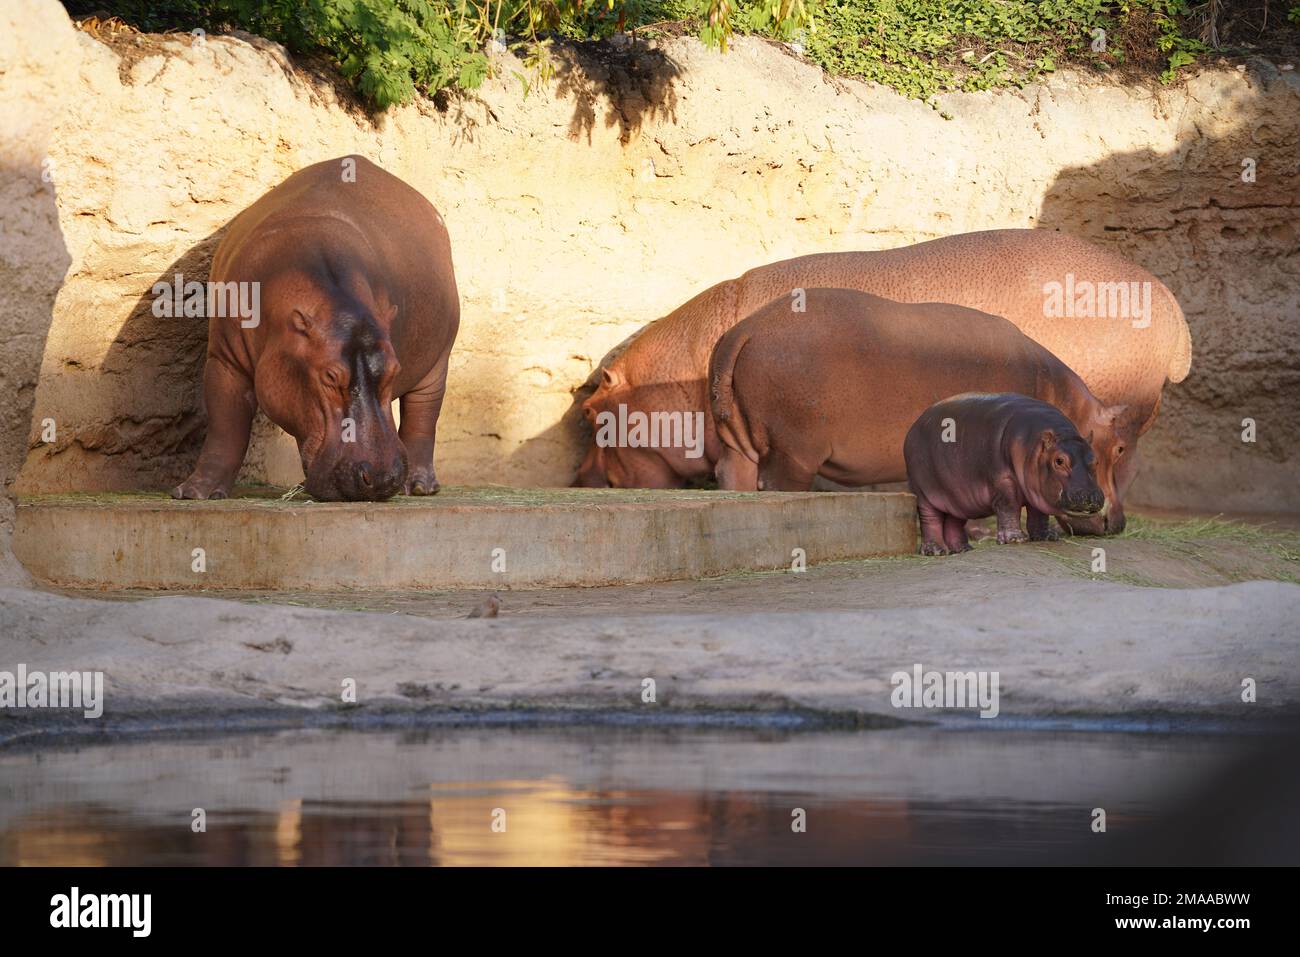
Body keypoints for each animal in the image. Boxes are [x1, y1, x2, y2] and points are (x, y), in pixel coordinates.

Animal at [172, 156, 459, 501]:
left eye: (395, 371)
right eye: (330, 377)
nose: (381, 478)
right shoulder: (225, 359)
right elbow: (225, 426)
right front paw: (194, 493)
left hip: (439, 361)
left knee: (423, 415)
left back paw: (418, 486)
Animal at [708, 288, 1133, 531]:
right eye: (1118, 448)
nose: (1119, 523)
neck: (1061, 400)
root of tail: (744, 328)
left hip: (740, 443)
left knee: (734, 478)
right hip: (794, 452)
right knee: (778, 487)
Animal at [904, 393, 1107, 555]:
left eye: (1095, 460)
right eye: (1059, 461)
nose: (1089, 496)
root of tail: (914, 426)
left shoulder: (1037, 488)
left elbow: (1039, 513)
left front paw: (1047, 536)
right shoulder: (1004, 481)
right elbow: (1009, 506)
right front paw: (1015, 539)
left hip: (955, 494)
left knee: (954, 520)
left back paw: (962, 549)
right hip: (923, 493)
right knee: (930, 519)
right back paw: (936, 551)